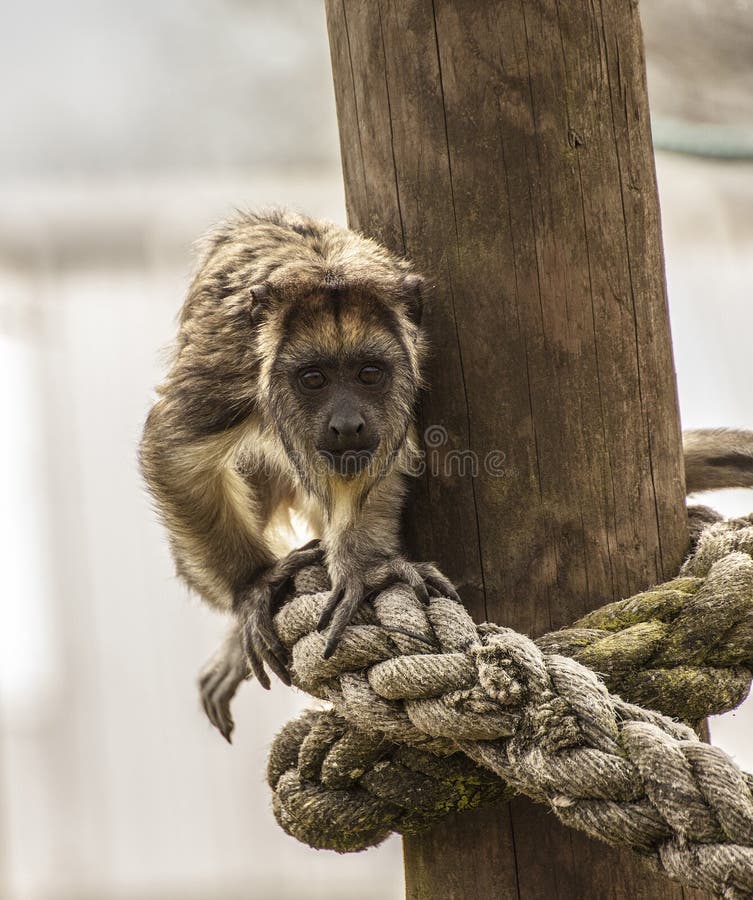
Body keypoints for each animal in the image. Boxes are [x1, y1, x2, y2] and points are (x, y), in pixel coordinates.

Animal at [140, 209, 458, 742]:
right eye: (313, 379)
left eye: (369, 374)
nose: (347, 423)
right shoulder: (229, 364)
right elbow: (172, 452)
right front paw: (255, 586)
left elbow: (389, 464)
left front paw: (363, 567)